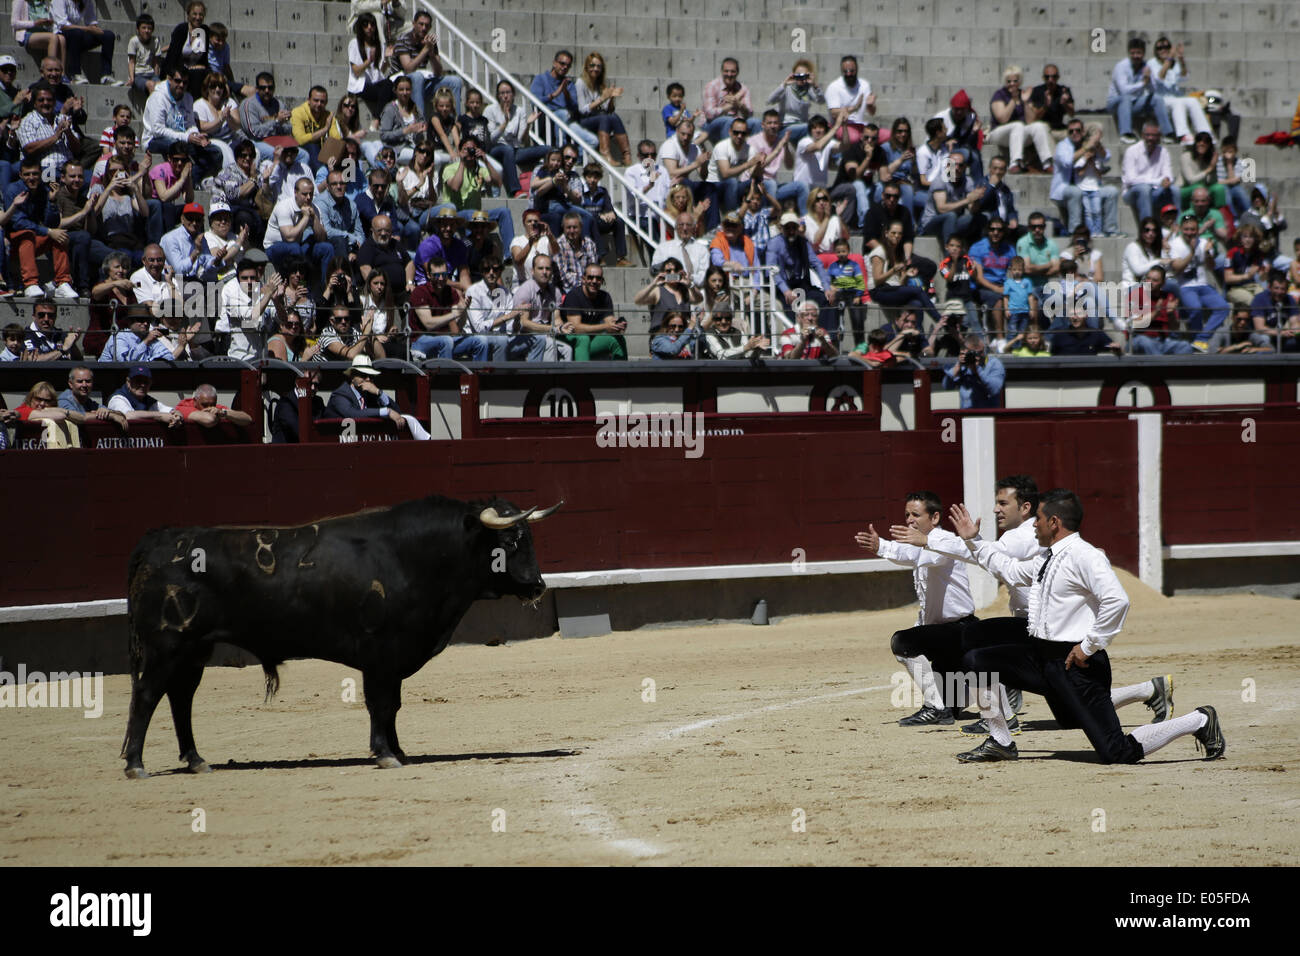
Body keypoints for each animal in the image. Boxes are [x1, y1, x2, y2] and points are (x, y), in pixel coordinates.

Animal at [120, 495, 562, 778]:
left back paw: (196, 760)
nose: (538, 586)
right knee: (147, 696)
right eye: (510, 540)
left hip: (194, 649)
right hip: (166, 645)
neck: (417, 556)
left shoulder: (393, 659)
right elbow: (380, 705)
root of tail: (160, 540)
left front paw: (399, 751)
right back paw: (136, 765)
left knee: (180, 699)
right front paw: (384, 754)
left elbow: (393, 706)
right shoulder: (380, 654)